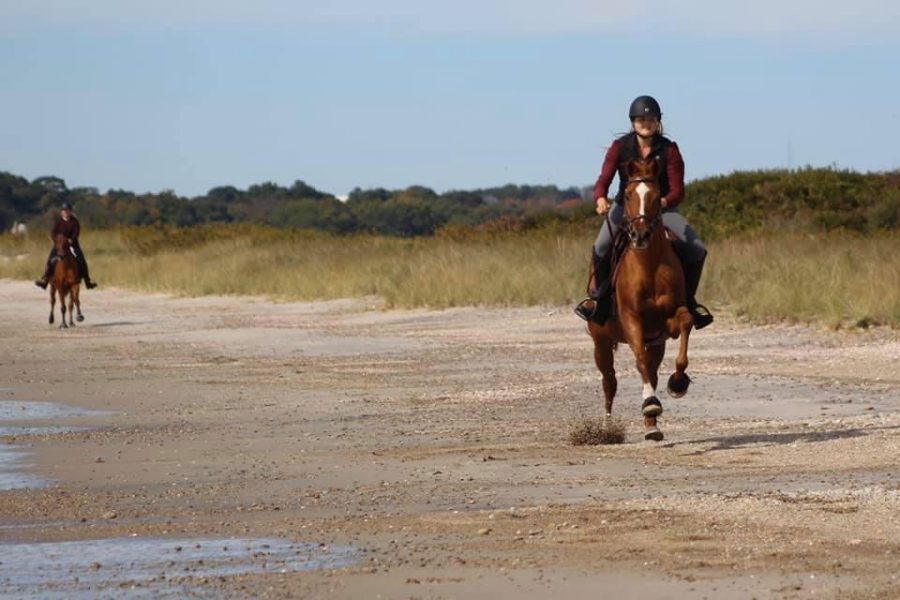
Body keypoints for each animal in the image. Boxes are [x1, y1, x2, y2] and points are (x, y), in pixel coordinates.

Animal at [587, 159, 694, 441]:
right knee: (610, 381)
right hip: (601, 342)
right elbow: (640, 363)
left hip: (656, 343)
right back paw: (608, 428)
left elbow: (686, 323)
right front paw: (651, 403)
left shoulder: (668, 321)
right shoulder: (631, 320)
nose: (640, 235)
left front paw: (678, 383)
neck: (649, 265)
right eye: (627, 195)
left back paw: (652, 426)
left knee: (651, 372)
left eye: (657, 196)